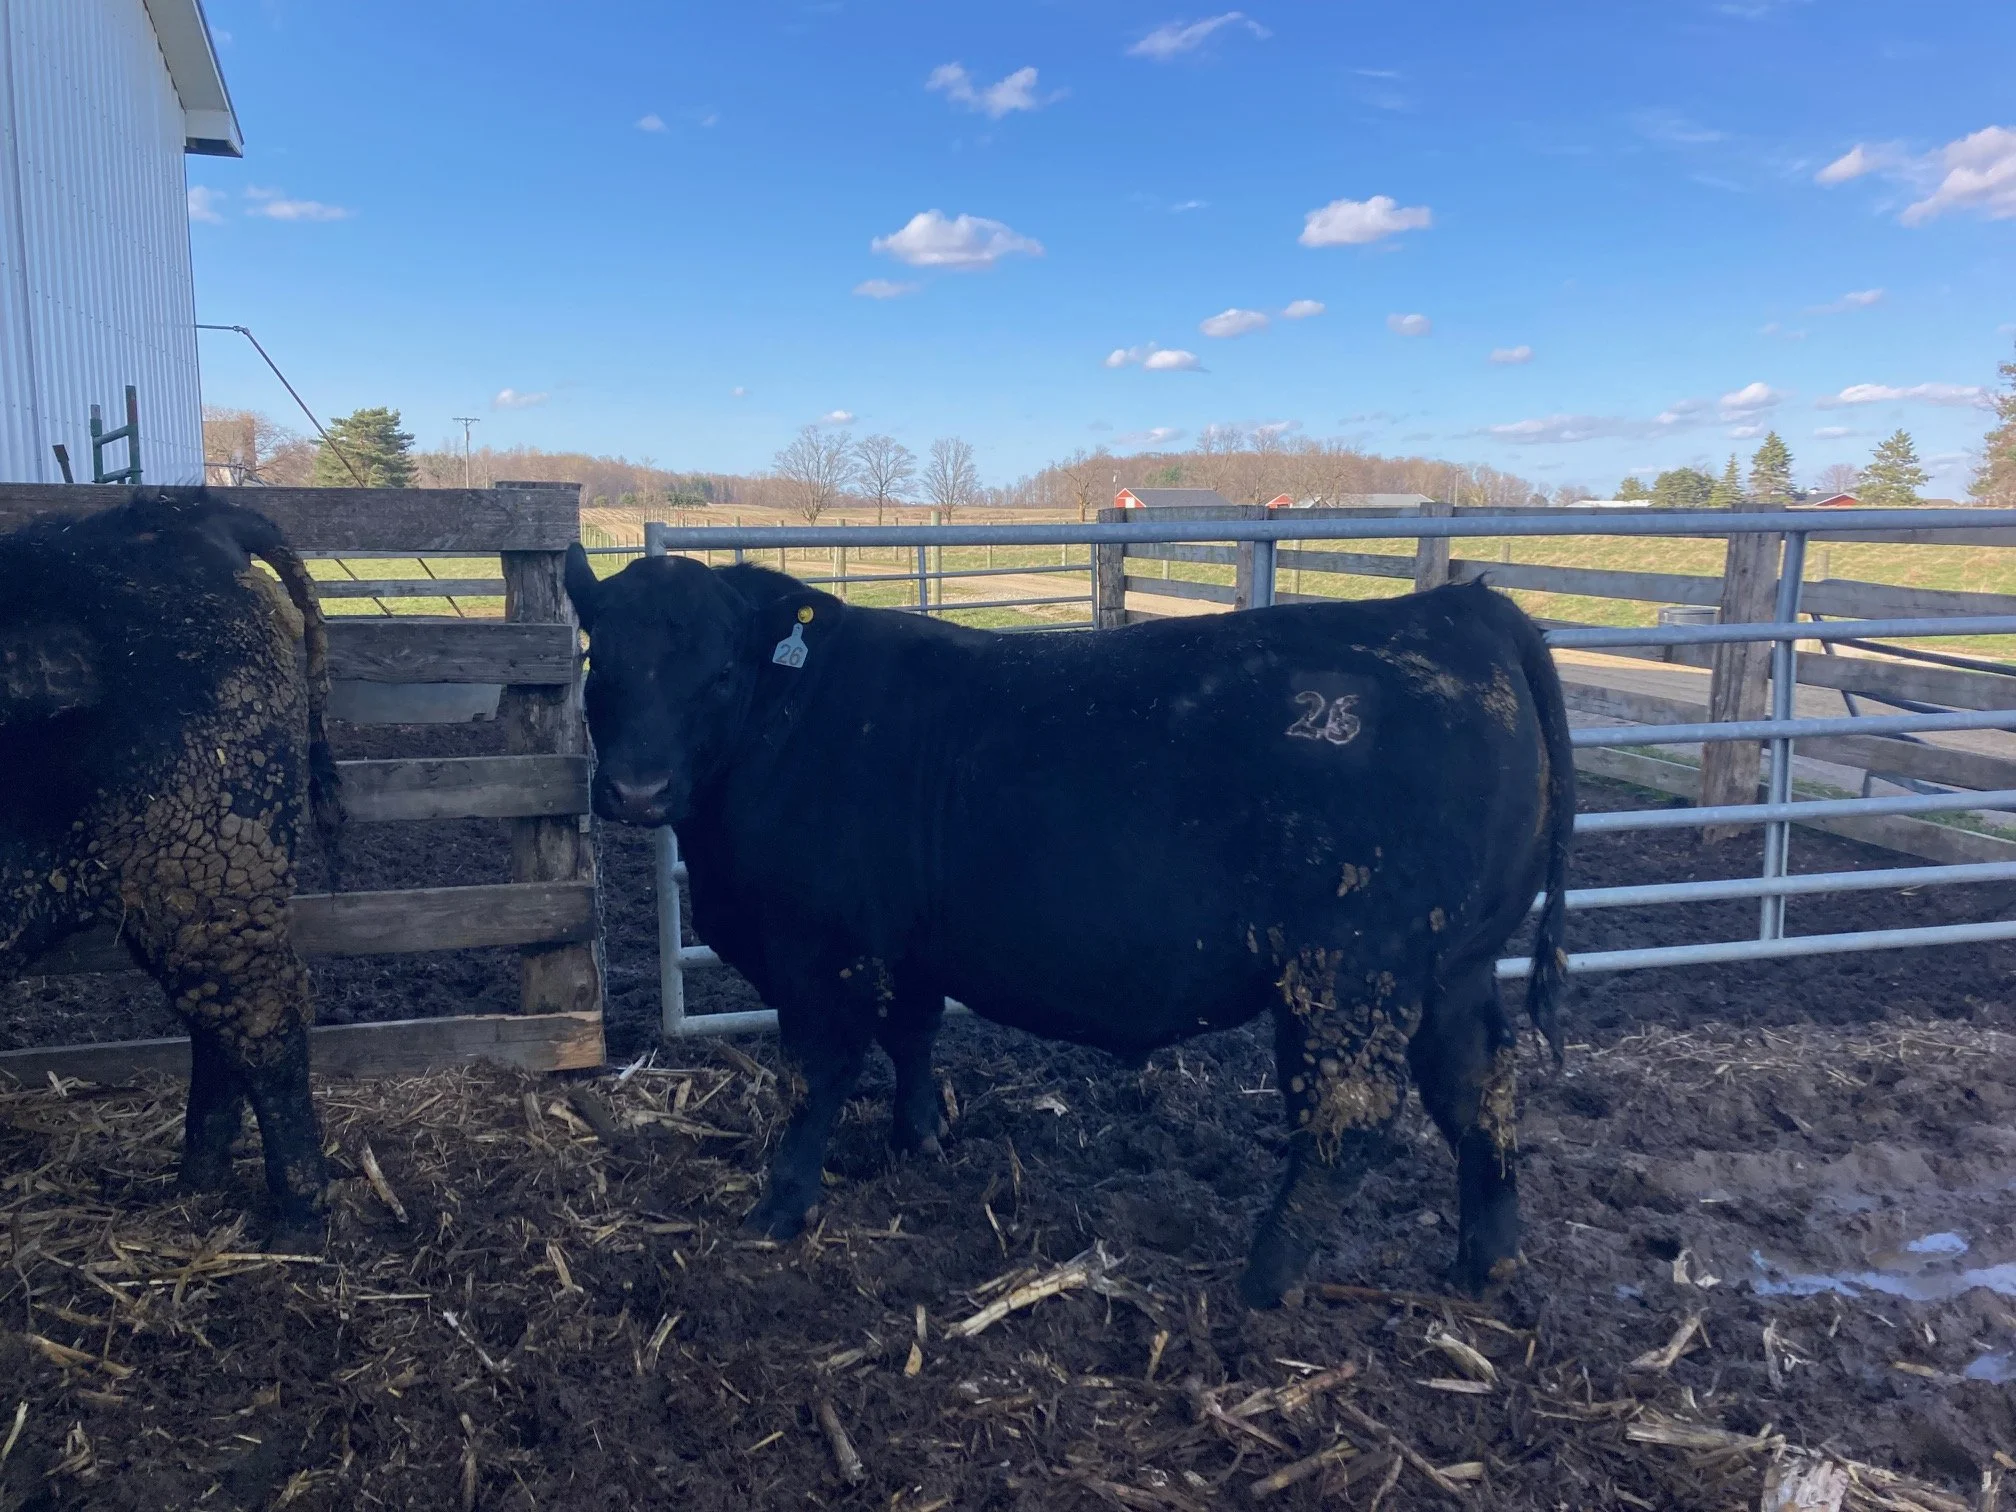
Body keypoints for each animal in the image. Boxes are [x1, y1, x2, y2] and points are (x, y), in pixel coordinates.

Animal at [2, 492, 341, 1244]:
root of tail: (192, 514)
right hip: (180, 899)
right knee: (219, 1029)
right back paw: (196, 1182)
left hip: (210, 872)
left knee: (263, 1022)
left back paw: (298, 1219)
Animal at [564, 546, 1572, 1307]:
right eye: (596, 661)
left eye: (718, 672)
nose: (637, 790)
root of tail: (1461, 610)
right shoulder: (906, 944)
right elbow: (914, 1034)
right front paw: (921, 1138)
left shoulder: (823, 954)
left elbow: (818, 1078)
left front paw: (780, 1208)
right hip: (1454, 966)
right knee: (1479, 1087)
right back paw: (1487, 1263)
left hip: (1350, 974)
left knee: (1348, 1116)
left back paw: (1265, 1280)